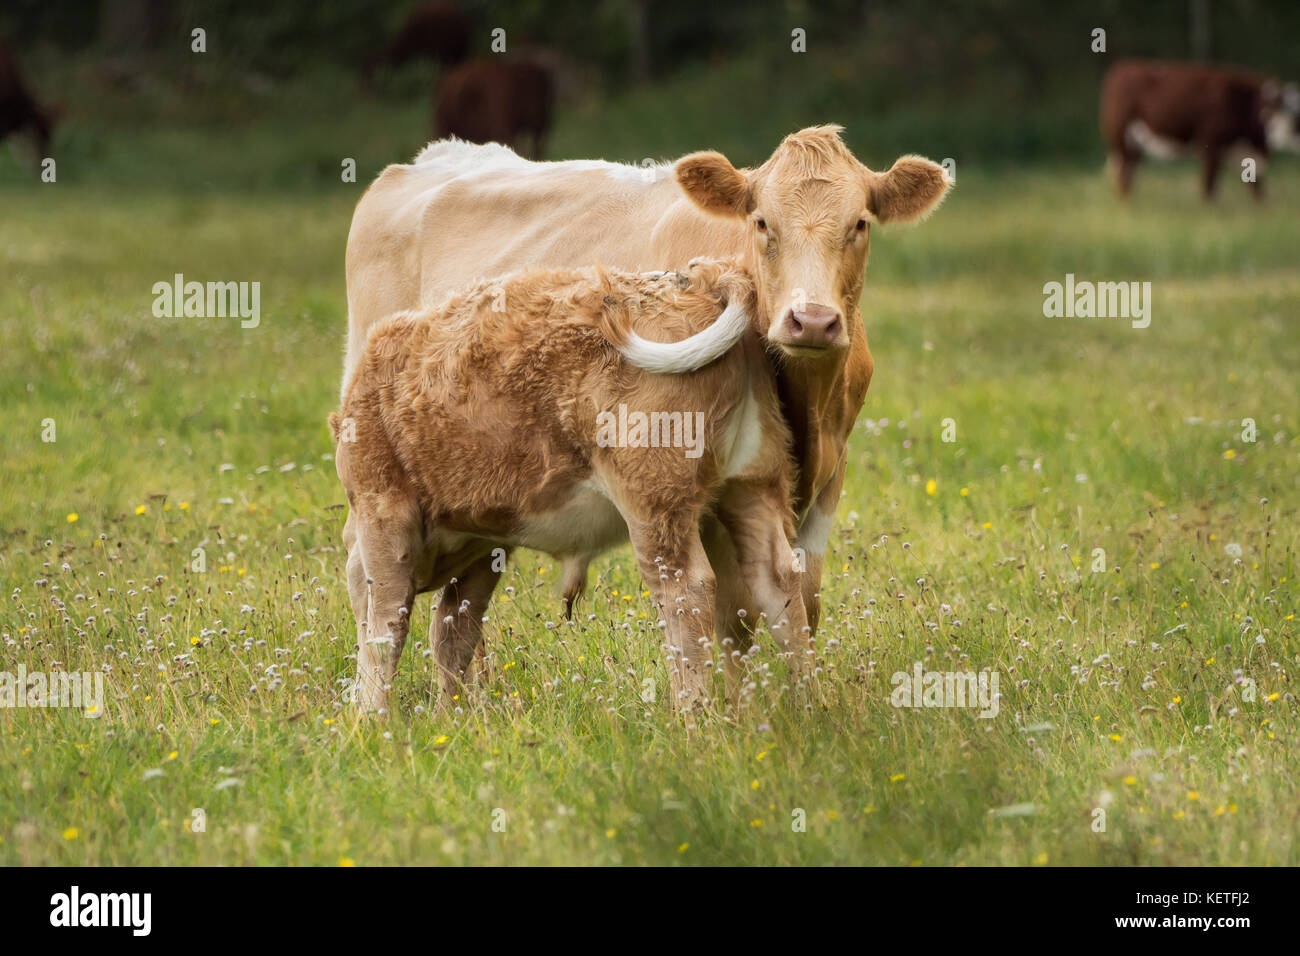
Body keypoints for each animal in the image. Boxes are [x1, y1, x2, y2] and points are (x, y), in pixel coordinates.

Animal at [334, 258, 805, 714]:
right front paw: (450, 717)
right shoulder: (484, 545)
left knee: (687, 593)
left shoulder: (383, 513)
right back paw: (808, 705)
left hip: (655, 503)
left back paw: (694, 716)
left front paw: (369, 718)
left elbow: (385, 629)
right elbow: (452, 633)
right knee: (779, 583)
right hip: (752, 486)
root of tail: (703, 279)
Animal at [1101, 59, 1300, 200]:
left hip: (1136, 144)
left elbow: (1257, 189)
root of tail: (1123, 67)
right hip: (1122, 138)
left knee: (1127, 175)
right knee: (1123, 177)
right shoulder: (1211, 144)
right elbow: (1209, 185)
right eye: (1293, 115)